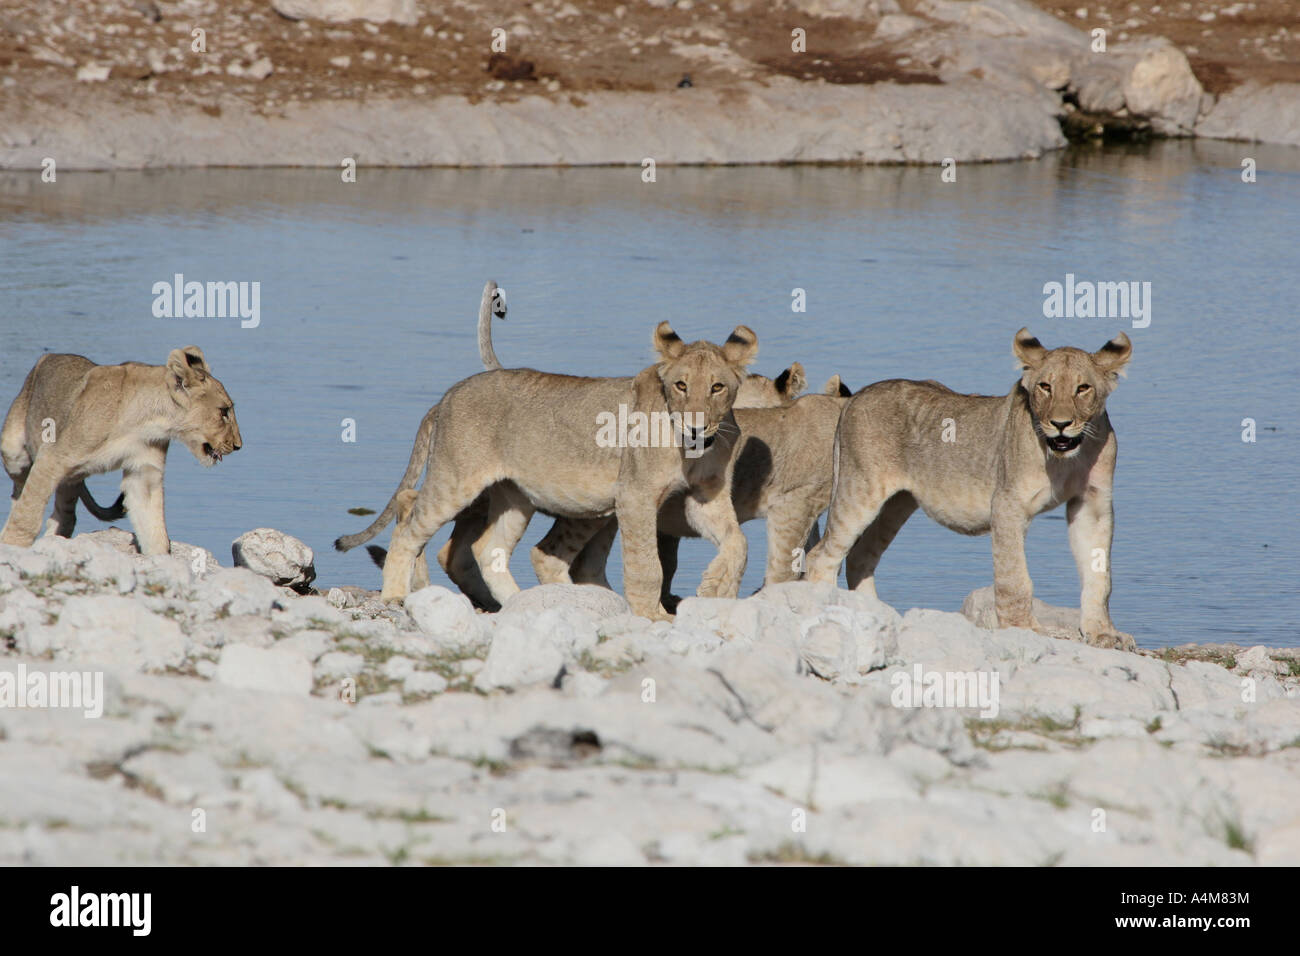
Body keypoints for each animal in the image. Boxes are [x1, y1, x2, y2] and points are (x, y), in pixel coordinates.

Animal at [0, 347, 242, 555]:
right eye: (223, 412)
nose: (238, 445)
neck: (145, 421)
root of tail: (47, 357)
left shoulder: (143, 474)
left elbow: (155, 529)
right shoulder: (51, 458)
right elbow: (27, 515)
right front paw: (12, 546)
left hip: (71, 479)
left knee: (64, 515)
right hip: (14, 453)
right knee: (19, 492)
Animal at [343, 320, 758, 619]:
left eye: (717, 387)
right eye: (681, 385)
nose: (695, 427)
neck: (694, 450)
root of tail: (447, 396)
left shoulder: (705, 496)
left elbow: (738, 542)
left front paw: (716, 586)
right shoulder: (634, 496)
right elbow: (646, 565)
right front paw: (652, 617)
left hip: (514, 497)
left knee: (487, 548)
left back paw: (520, 603)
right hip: (456, 480)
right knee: (409, 528)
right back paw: (394, 596)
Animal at [803, 328, 1133, 650]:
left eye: (1083, 388)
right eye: (1045, 386)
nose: (1060, 424)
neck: (1066, 456)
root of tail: (854, 398)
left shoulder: (1092, 503)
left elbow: (1099, 574)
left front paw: (1103, 633)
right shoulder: (1007, 503)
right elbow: (1014, 575)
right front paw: (1024, 629)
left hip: (897, 505)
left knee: (860, 557)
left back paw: (878, 616)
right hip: (859, 490)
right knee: (821, 557)